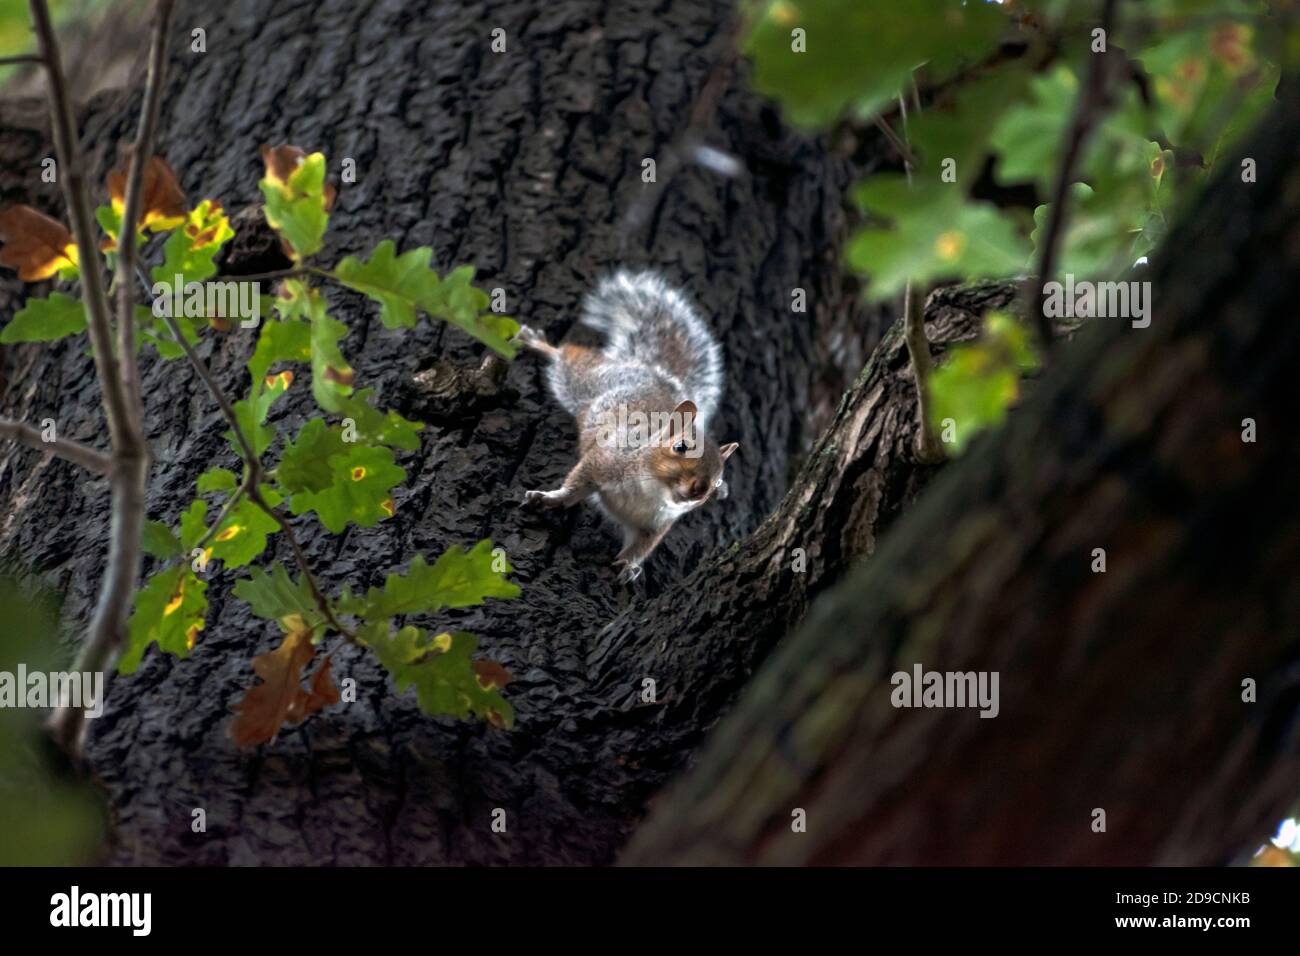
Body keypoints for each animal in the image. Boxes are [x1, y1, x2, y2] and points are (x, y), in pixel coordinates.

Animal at [516, 270, 739, 583]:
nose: (701, 489)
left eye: (719, 476)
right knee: (568, 358)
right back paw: (537, 343)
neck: (650, 492)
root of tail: (653, 372)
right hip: (586, 380)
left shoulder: (656, 524)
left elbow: (643, 546)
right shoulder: (603, 459)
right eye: (680, 446)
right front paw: (549, 498)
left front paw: (629, 566)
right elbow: (574, 485)